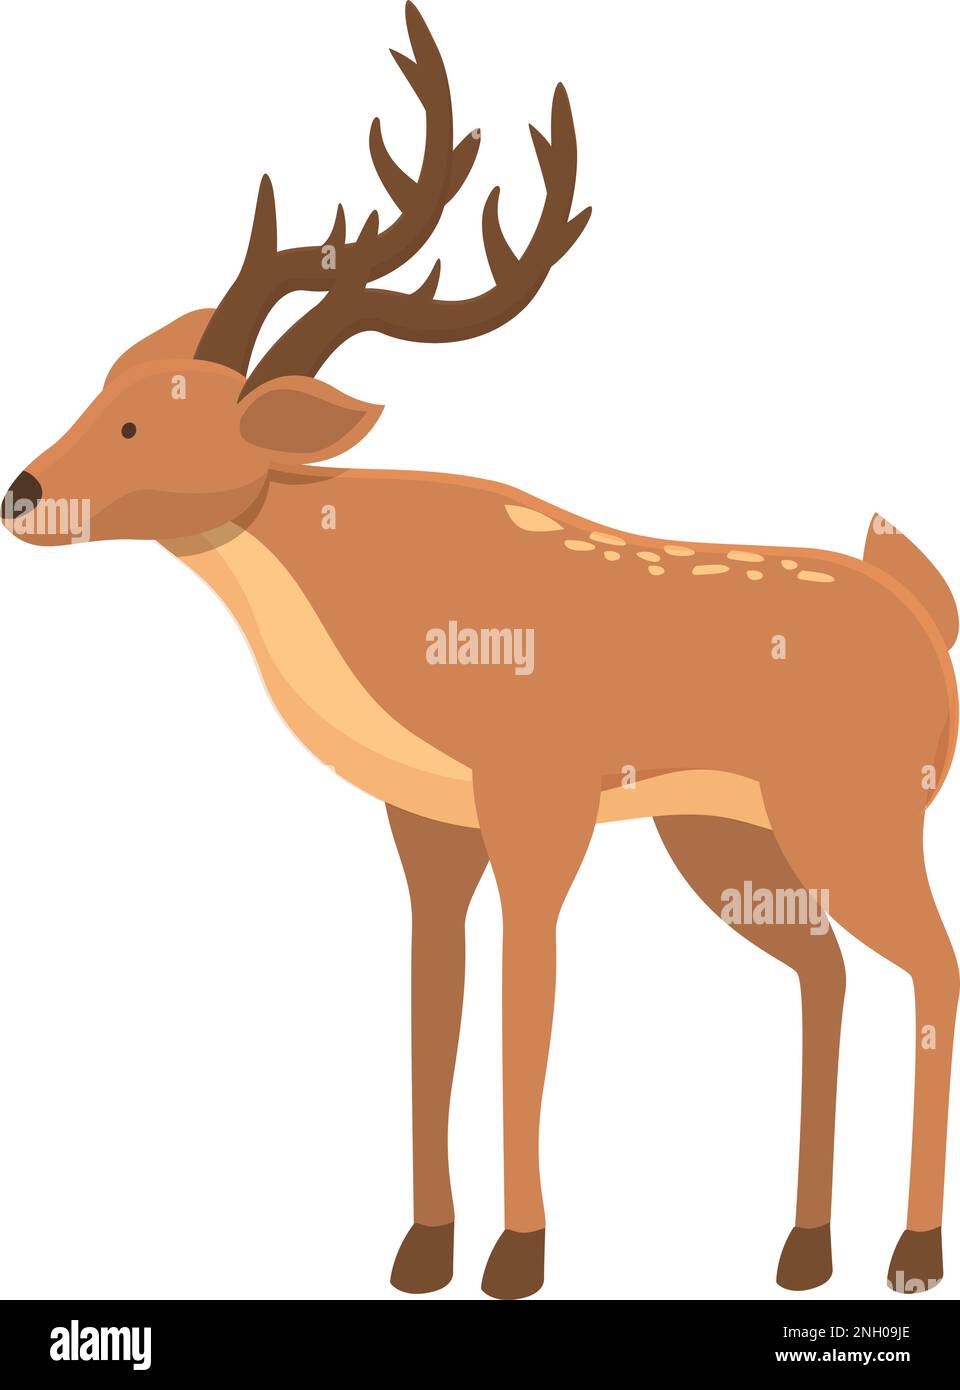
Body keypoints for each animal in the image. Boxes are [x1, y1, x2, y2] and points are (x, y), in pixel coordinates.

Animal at [4, 2, 958, 1301]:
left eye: (148, 419)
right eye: (107, 382)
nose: (21, 491)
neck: (396, 642)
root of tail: (928, 621)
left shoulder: (540, 796)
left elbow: (524, 1008)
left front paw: (518, 1255)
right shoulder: (426, 818)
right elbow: (431, 1006)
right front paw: (420, 1250)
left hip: (863, 810)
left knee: (932, 965)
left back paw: (910, 1251)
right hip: (722, 832)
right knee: (828, 970)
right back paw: (804, 1250)